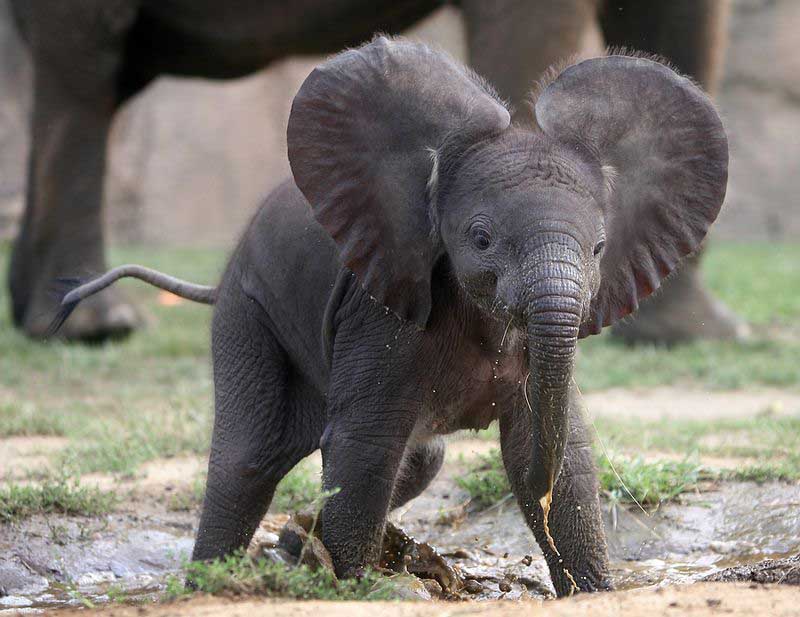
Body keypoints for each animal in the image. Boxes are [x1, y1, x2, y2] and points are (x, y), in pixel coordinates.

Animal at [51, 38, 728, 595]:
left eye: (598, 250)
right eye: (481, 239)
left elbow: (561, 452)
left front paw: (593, 592)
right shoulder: (382, 307)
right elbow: (364, 447)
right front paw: (357, 587)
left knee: (422, 461)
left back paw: (296, 542)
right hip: (250, 311)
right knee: (247, 460)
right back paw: (214, 583)